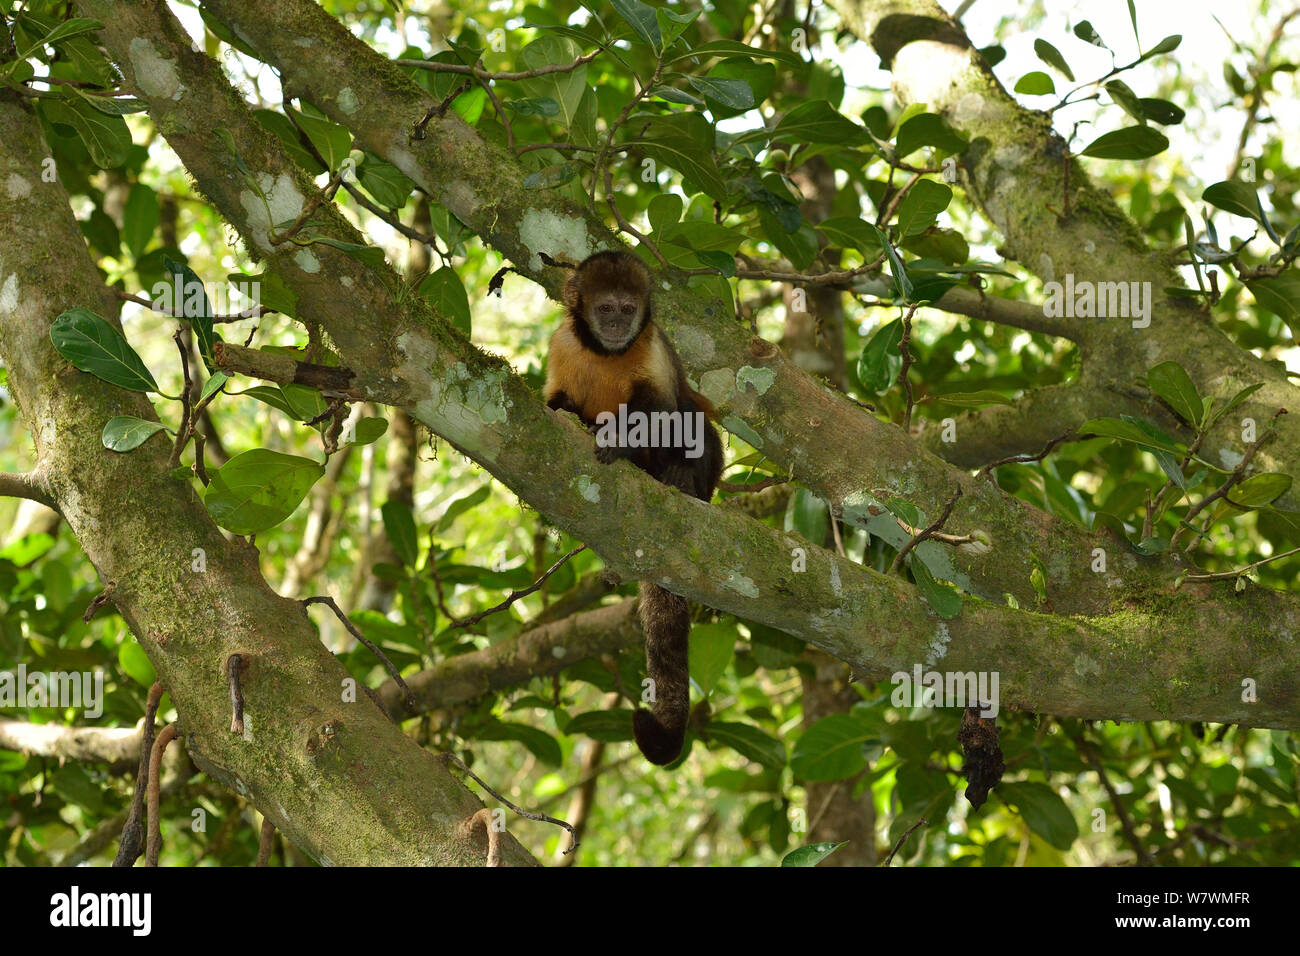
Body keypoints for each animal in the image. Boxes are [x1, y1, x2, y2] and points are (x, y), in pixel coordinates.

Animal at [544, 250, 723, 765]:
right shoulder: (562, 343)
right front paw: (571, 415)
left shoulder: (651, 344)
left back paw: (679, 479)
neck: (608, 353)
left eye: (628, 309)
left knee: (689, 414)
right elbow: (556, 400)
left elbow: (662, 408)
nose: (618, 326)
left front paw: (618, 441)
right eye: (606, 309)